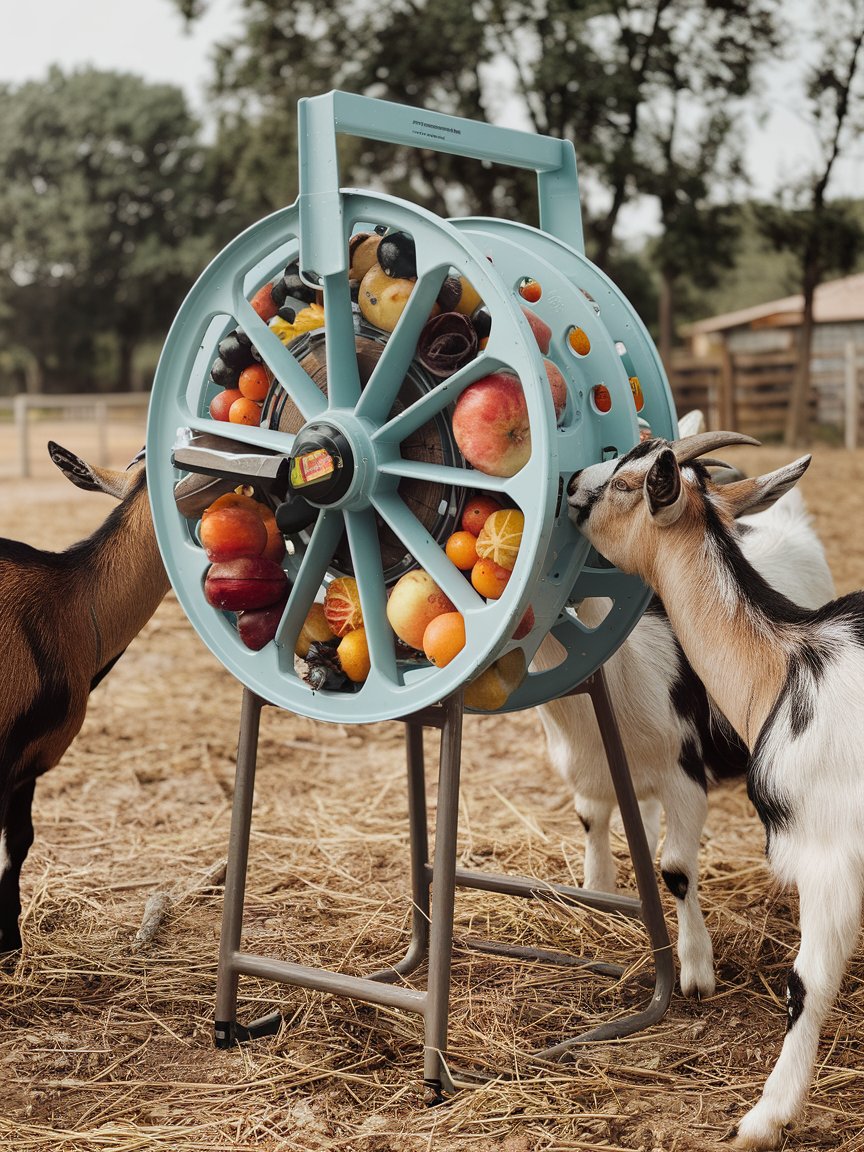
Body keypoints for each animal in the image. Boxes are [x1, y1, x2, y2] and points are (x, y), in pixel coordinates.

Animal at [534, 484, 835, 1000]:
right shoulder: (590, 774)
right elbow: (592, 822)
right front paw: (599, 893)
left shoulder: (684, 777)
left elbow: (676, 868)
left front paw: (697, 973)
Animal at [566, 430, 863, 1150]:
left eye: (628, 482)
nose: (570, 485)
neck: (780, 666)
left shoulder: (829, 852)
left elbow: (807, 981)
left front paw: (765, 1117)